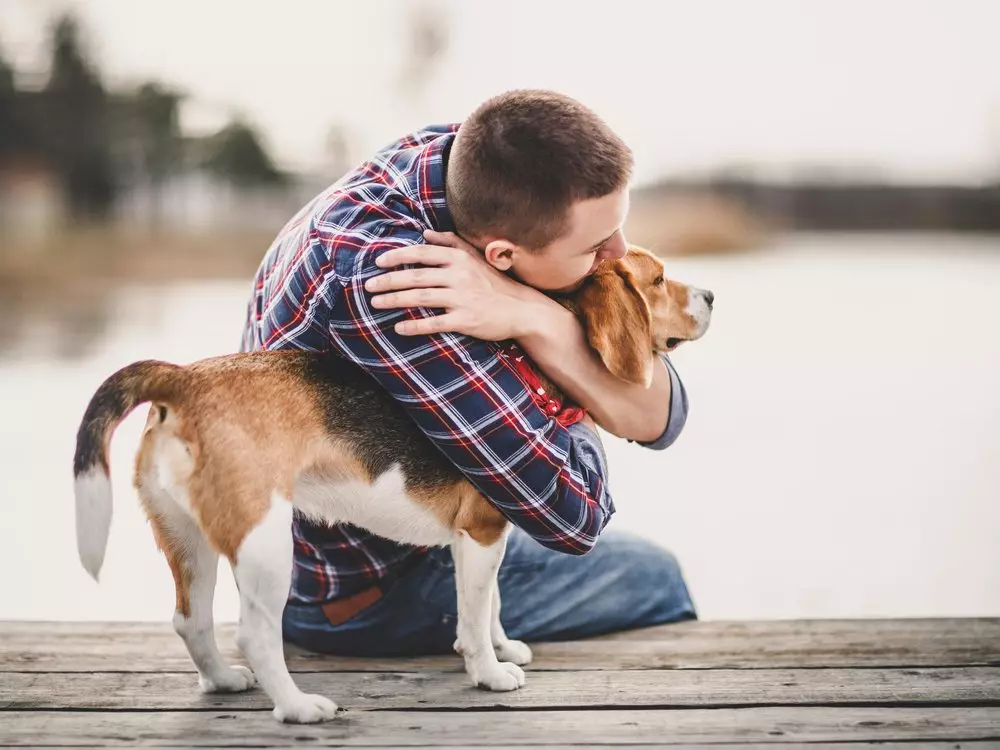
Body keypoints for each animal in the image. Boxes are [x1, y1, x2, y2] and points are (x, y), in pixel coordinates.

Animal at [72, 245, 712, 724]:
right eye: (658, 279)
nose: (711, 297)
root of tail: (183, 379)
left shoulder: (486, 533)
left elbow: (491, 602)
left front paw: (501, 647)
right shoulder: (483, 529)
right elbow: (474, 614)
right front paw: (489, 672)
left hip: (185, 535)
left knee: (190, 620)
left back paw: (225, 681)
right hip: (264, 541)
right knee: (254, 632)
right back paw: (299, 709)